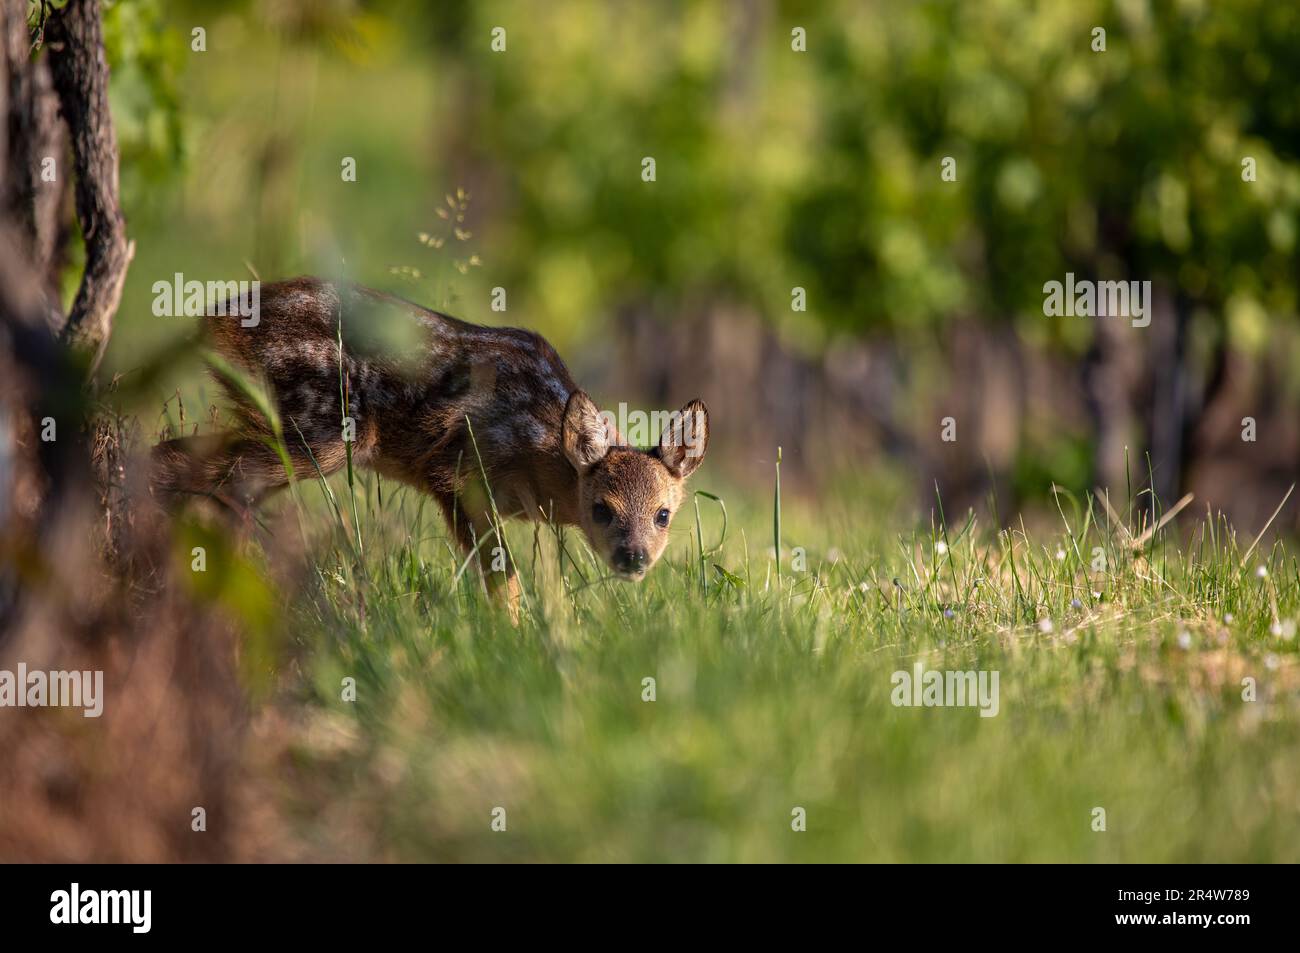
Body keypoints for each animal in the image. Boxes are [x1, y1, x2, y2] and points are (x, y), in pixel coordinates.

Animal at [151, 277, 710, 614]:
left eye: (663, 514)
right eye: (601, 508)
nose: (633, 557)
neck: (539, 450)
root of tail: (215, 320)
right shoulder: (458, 470)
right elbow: (502, 575)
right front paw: (519, 637)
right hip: (322, 430)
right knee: (174, 461)